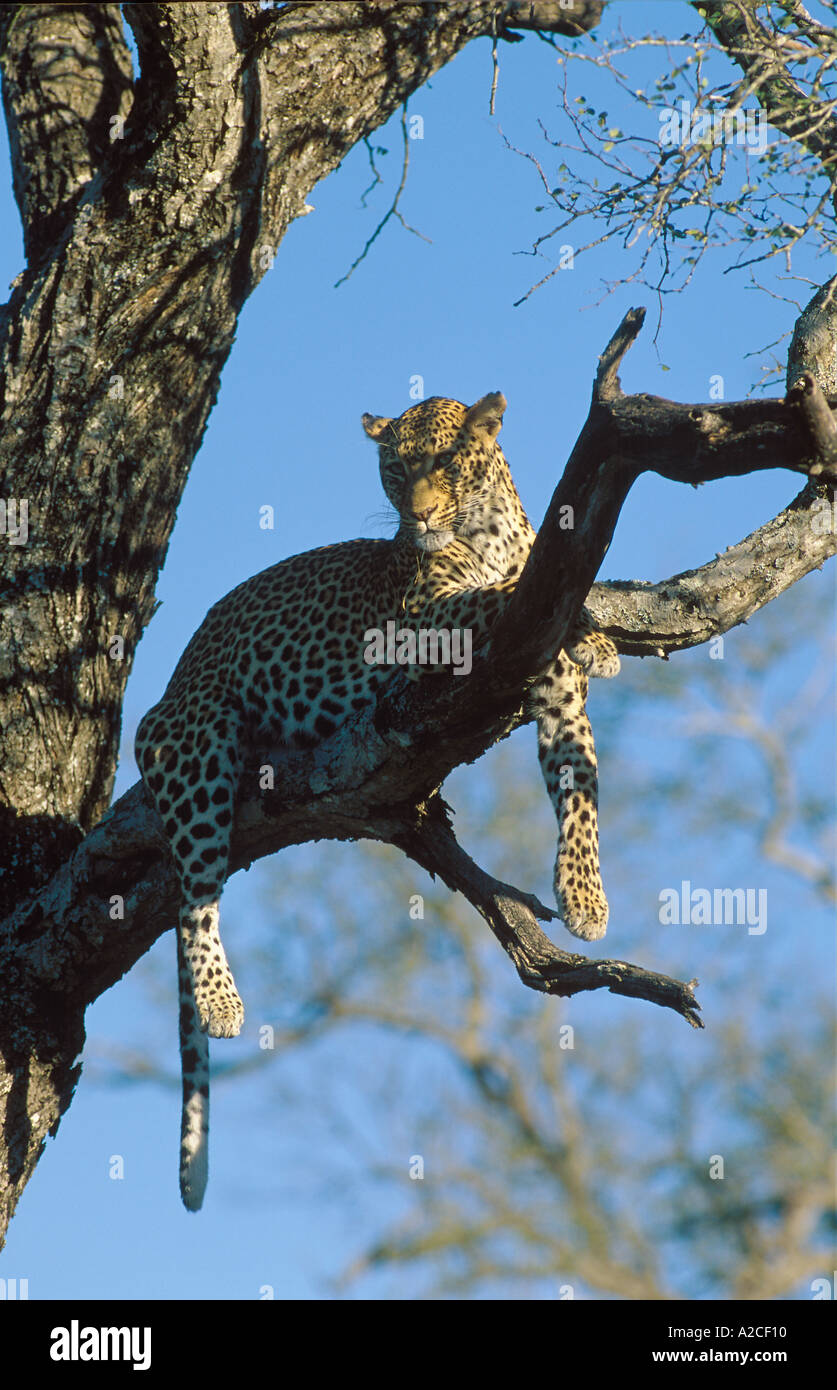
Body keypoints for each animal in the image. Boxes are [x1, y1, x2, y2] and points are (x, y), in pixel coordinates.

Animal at [135, 391, 619, 1211]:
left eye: (447, 463)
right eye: (395, 470)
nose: (419, 516)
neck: (492, 533)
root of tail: (169, 686)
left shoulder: (555, 694)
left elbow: (579, 790)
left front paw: (583, 898)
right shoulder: (424, 622)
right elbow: (492, 599)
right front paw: (596, 629)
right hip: (195, 740)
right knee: (197, 892)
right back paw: (222, 1003)